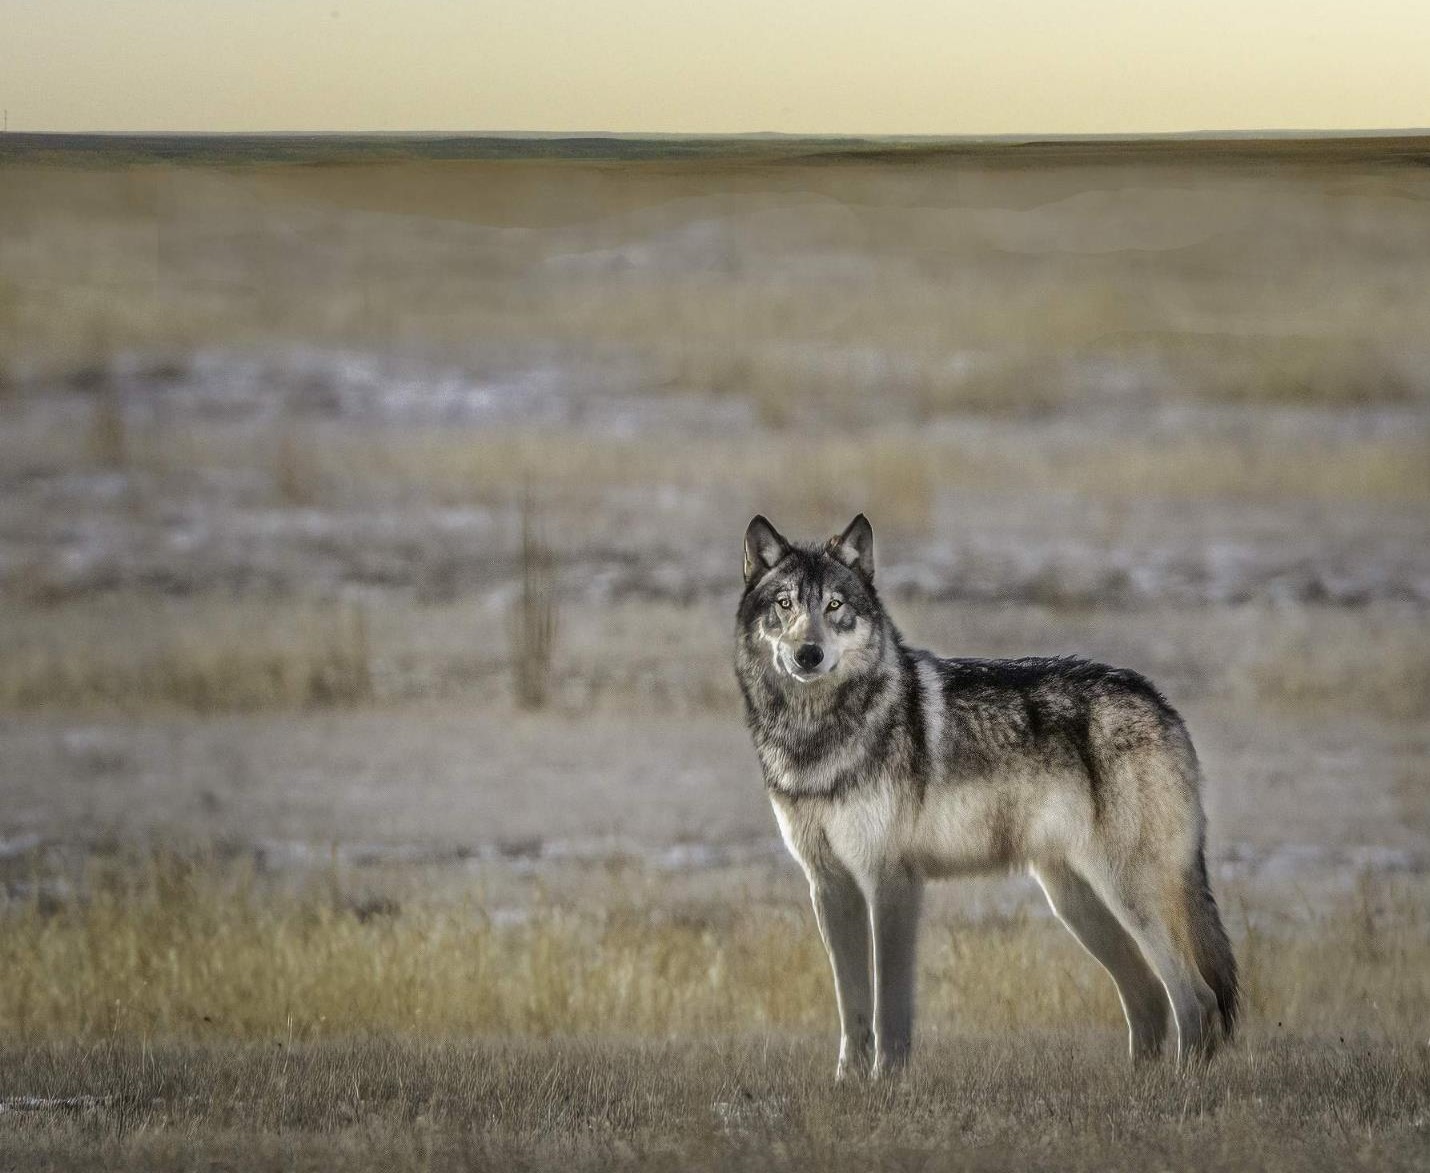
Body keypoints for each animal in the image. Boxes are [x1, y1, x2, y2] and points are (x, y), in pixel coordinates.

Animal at [734, 514, 1238, 1079]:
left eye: (835, 605)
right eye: (785, 603)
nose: (809, 654)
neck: (817, 735)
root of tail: (1162, 703)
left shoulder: (892, 880)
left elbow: (889, 1005)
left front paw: (887, 1083)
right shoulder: (829, 885)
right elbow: (853, 1006)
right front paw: (848, 1084)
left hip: (1129, 892)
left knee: (1196, 998)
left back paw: (1183, 1086)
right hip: (1074, 900)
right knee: (1150, 996)